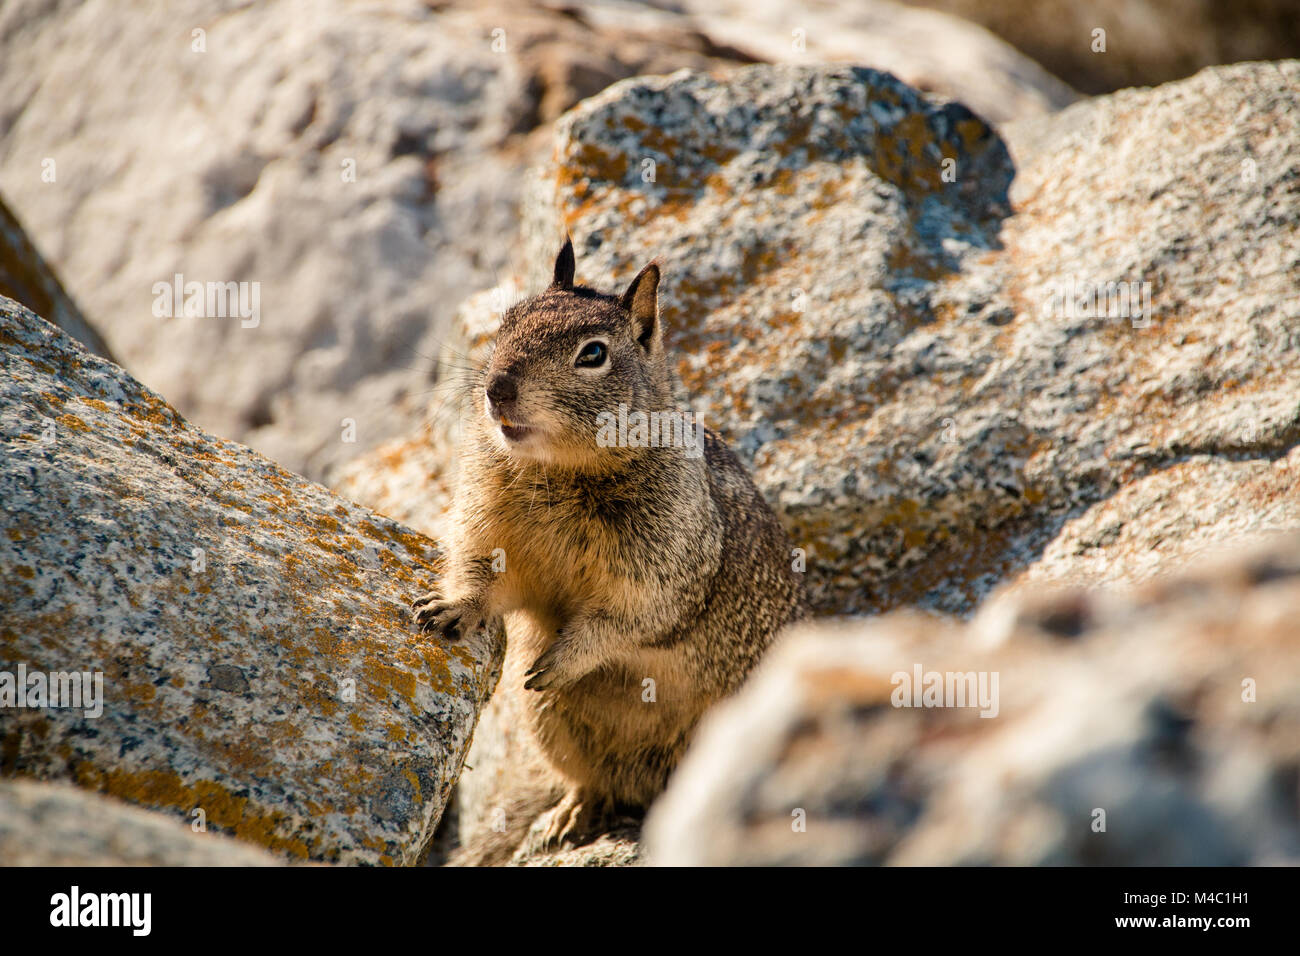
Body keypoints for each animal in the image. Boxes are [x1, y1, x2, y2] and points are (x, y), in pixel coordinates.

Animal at [413, 237, 808, 862]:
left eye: (593, 354)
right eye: (506, 322)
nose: (496, 389)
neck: (561, 468)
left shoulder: (663, 571)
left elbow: (625, 621)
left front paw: (562, 658)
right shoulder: (487, 528)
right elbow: (482, 577)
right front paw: (451, 608)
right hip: (550, 725)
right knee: (594, 782)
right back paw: (568, 816)